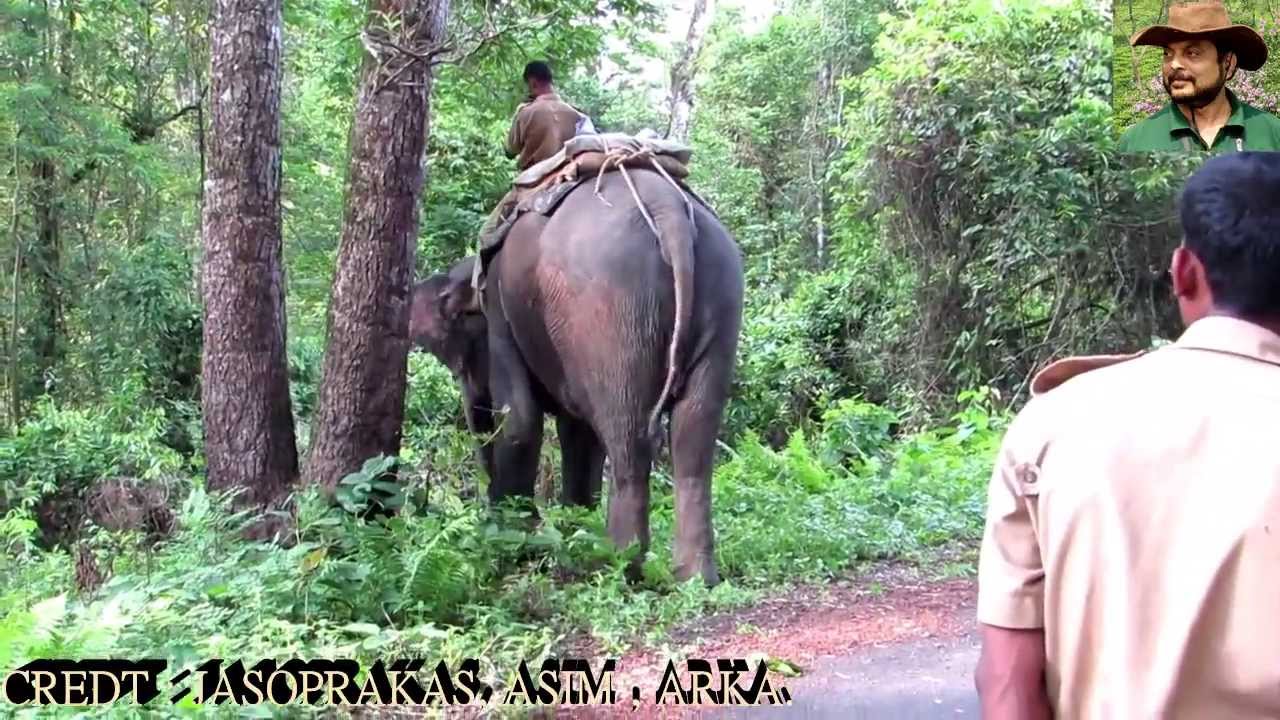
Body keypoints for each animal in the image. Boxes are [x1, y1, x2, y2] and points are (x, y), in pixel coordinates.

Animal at [409, 167, 744, 585]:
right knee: (692, 435)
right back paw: (694, 577)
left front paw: (519, 546)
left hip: (614, 310)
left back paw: (620, 564)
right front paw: (569, 530)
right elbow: (577, 433)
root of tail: (668, 212)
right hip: (721, 291)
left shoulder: (502, 317)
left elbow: (520, 421)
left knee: (629, 436)